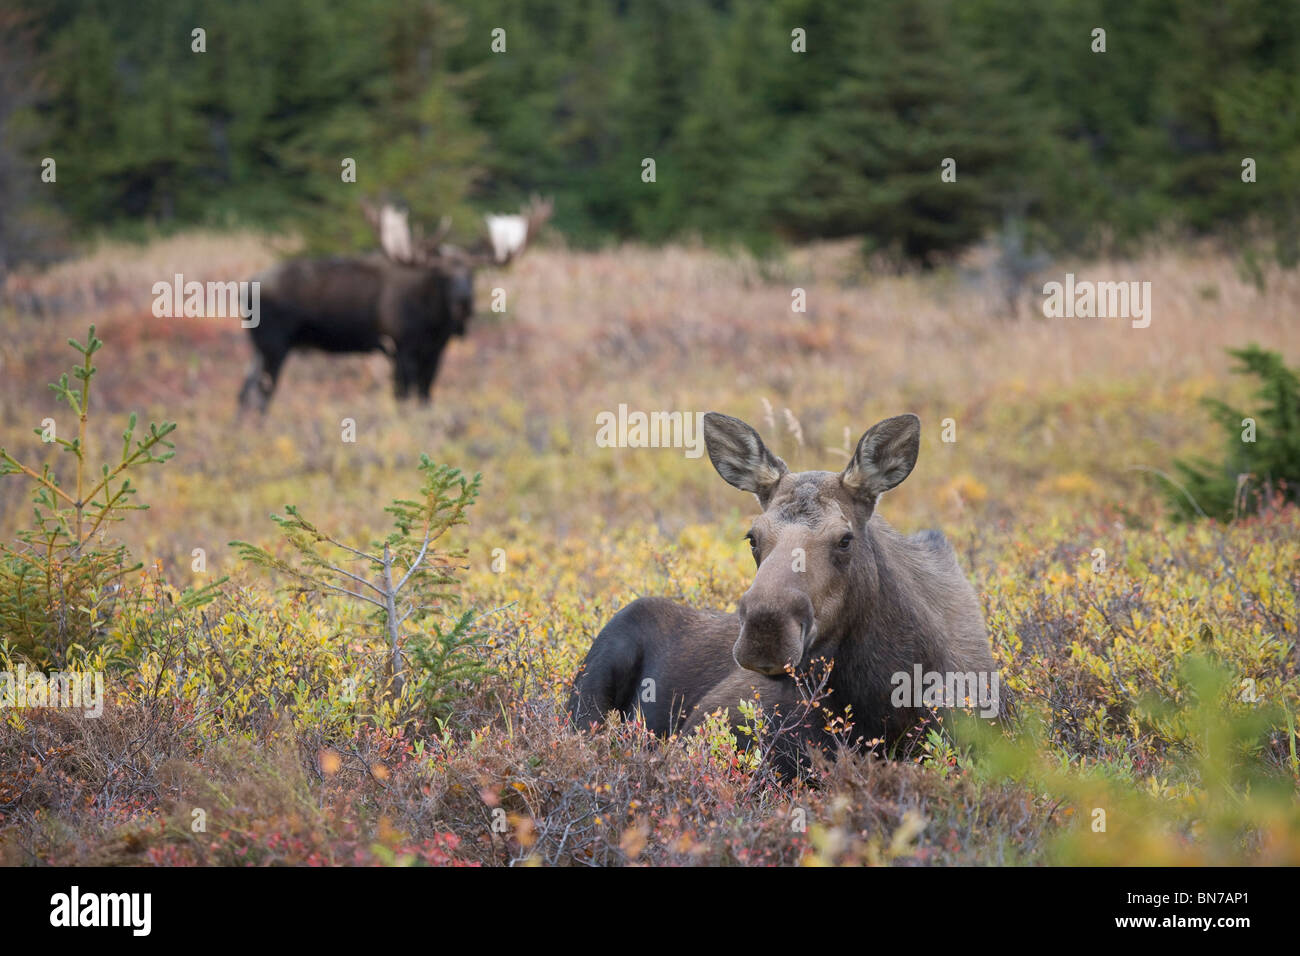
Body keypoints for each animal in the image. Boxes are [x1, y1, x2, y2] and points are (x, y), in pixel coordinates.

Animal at [237, 197, 552, 412]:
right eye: (443, 275)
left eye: (472, 273)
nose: (464, 301)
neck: (434, 320)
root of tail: (245, 288)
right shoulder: (401, 346)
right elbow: (403, 395)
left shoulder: (435, 350)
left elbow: (425, 395)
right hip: (275, 345)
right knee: (261, 395)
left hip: (260, 349)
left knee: (243, 392)